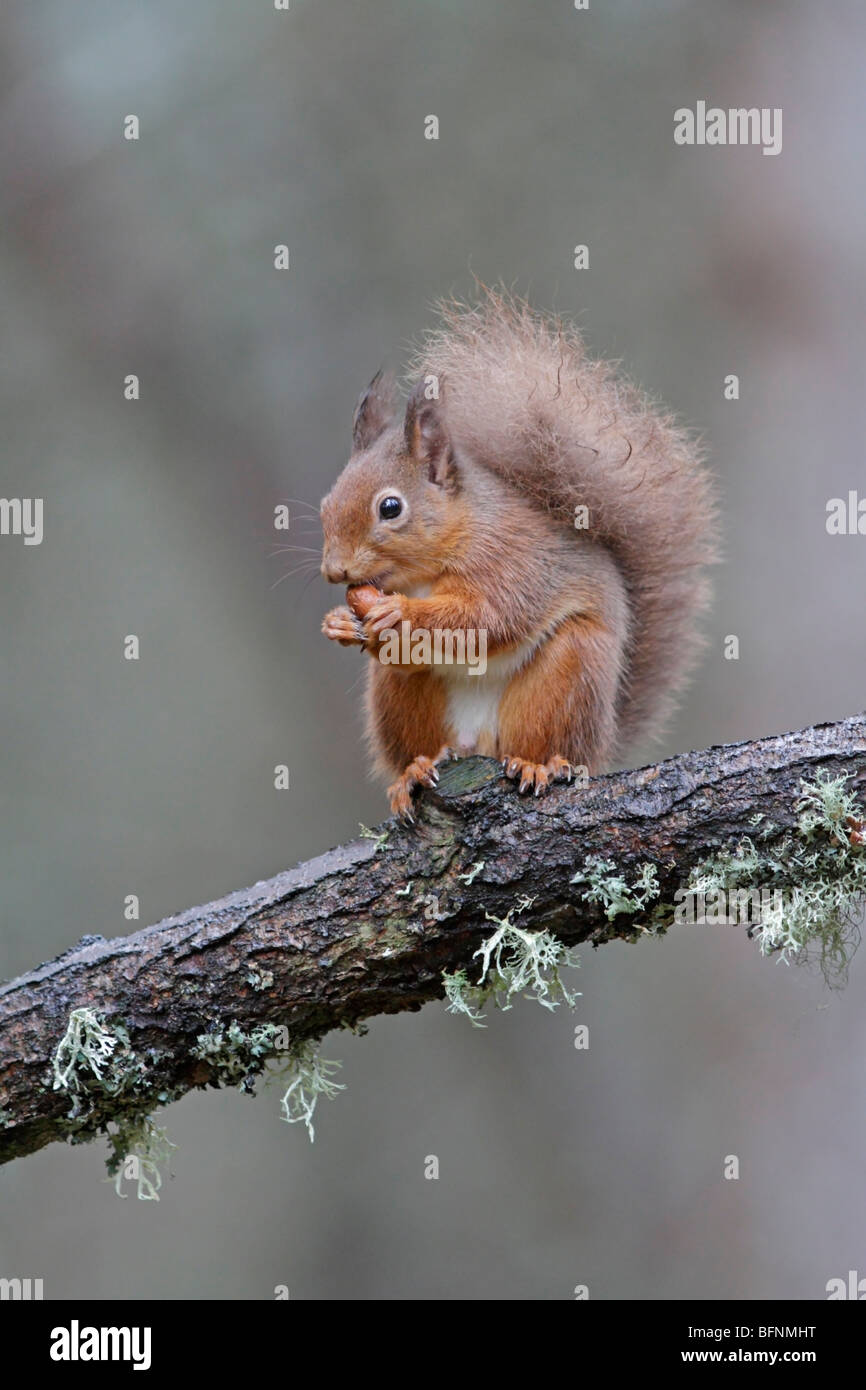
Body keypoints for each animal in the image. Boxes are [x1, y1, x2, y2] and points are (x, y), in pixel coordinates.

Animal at [320, 289, 717, 820]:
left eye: (390, 507)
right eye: (326, 504)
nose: (334, 570)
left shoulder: (512, 562)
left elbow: (485, 617)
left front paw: (399, 612)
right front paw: (341, 623)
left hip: (567, 674)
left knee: (546, 743)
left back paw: (537, 765)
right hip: (401, 696)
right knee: (417, 731)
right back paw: (413, 773)